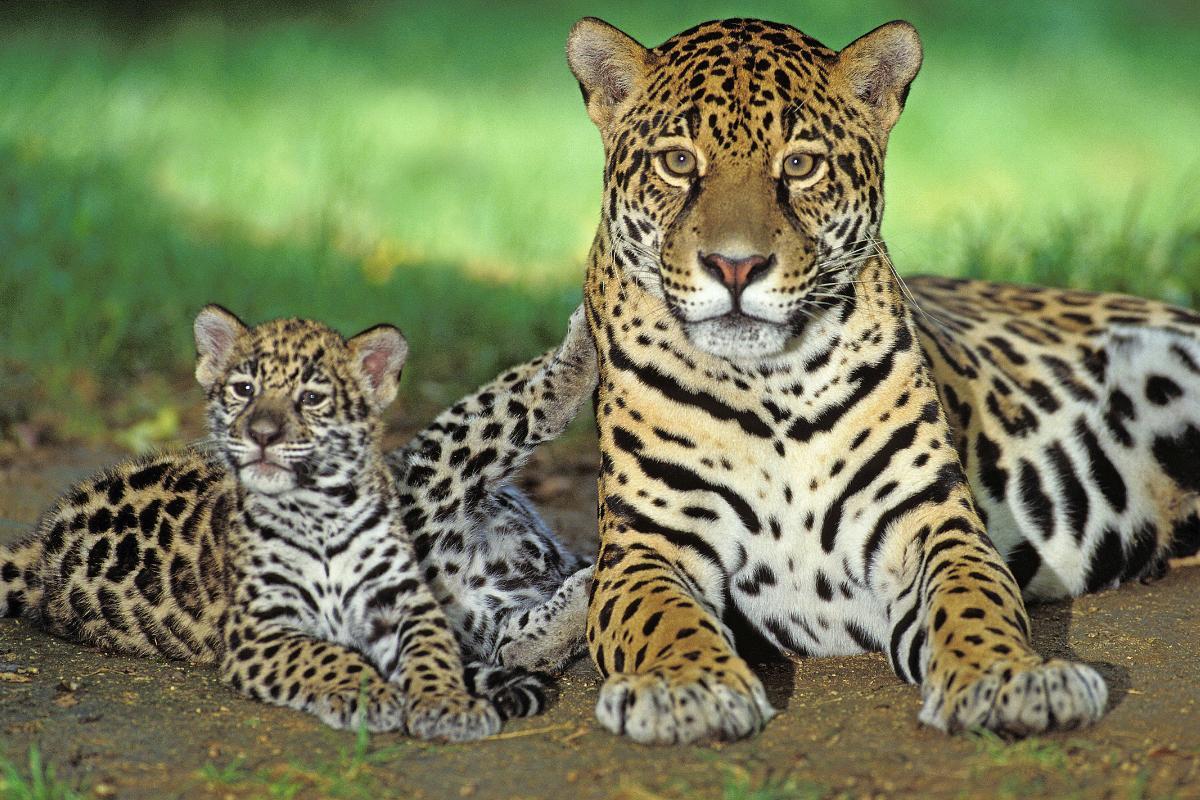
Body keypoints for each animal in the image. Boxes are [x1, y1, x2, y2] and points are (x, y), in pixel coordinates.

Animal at [0, 303, 596, 737]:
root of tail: (35, 557)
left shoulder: (487, 622)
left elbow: (536, 636)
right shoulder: (434, 465)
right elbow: (516, 402)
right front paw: (586, 340)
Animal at [563, 15, 1198, 744]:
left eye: (800, 164)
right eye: (677, 162)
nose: (735, 267)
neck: (772, 385)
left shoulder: (930, 519)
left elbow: (973, 600)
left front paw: (1007, 678)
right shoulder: (644, 545)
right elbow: (661, 620)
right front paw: (684, 687)